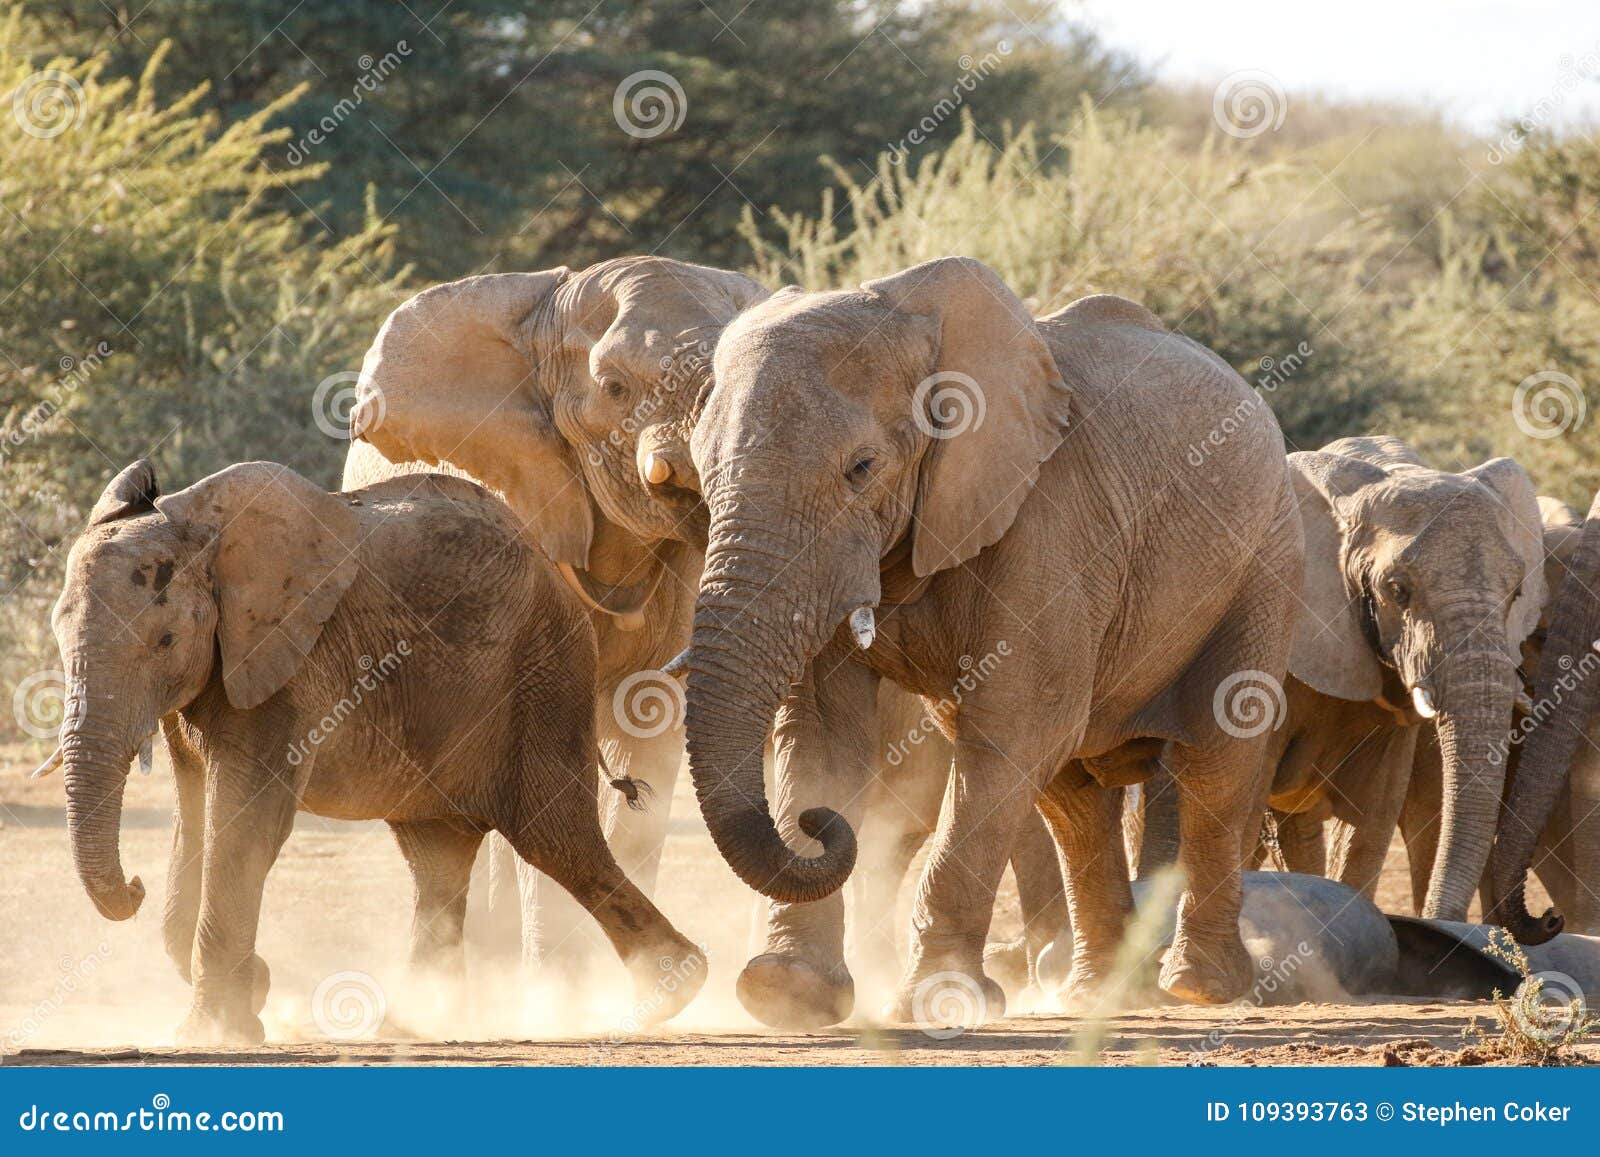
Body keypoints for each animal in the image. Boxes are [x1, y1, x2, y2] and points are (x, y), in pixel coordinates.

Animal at [38, 458, 703, 1045]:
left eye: (165, 639)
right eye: (60, 635)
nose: (134, 886)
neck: (201, 528)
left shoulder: (291, 665)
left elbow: (246, 823)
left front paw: (215, 1032)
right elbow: (194, 815)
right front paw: (253, 991)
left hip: (546, 670)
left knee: (555, 838)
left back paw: (668, 993)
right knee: (437, 853)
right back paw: (417, 1022)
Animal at [677, 256, 1304, 1029]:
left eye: (862, 467)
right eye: (702, 470)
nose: (817, 826)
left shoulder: (1048, 519)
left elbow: (1013, 726)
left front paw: (936, 1004)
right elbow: (822, 730)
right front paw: (787, 994)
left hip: (1265, 556)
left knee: (1215, 755)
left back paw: (1199, 986)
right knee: (1073, 794)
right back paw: (1099, 994)